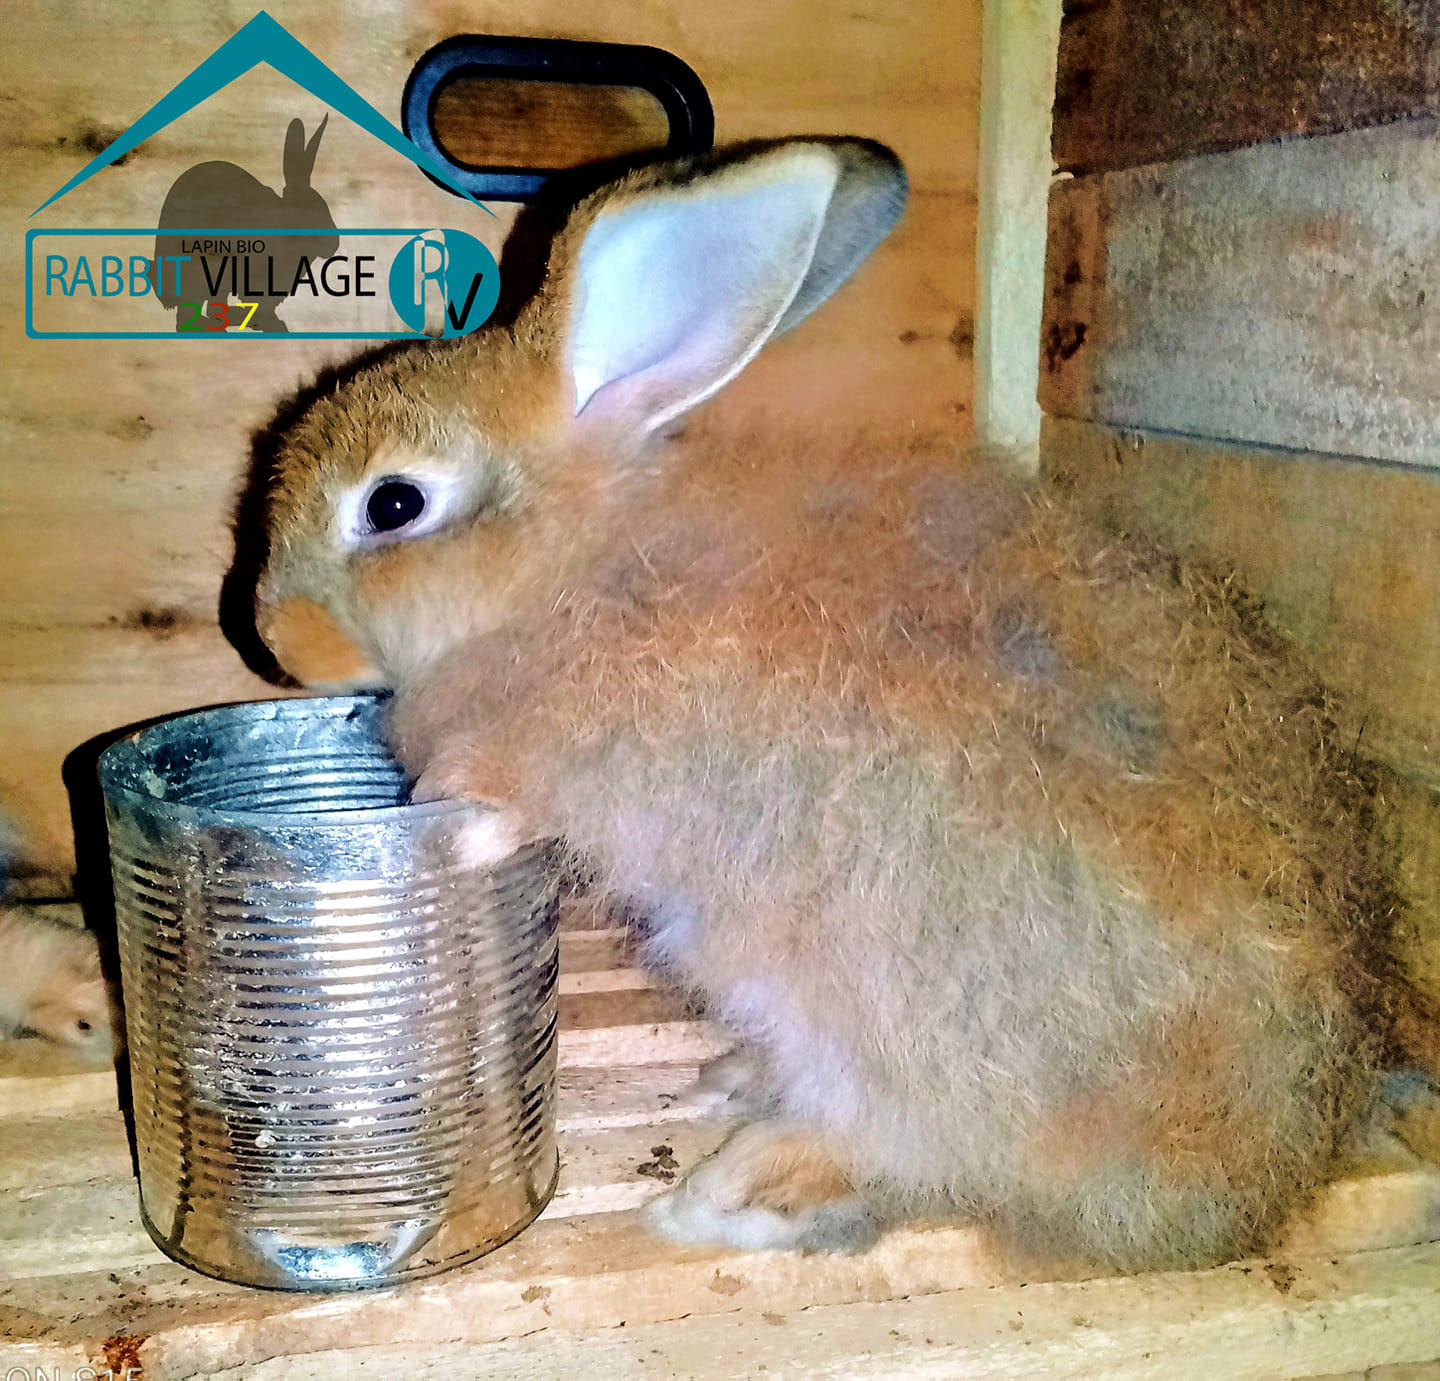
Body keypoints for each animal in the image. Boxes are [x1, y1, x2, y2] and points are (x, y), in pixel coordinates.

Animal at [247, 138, 1440, 1271]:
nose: (269, 635)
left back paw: (732, 1190)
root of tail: (1271, 1165)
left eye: (392, 505)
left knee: (910, 1159)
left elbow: (502, 797)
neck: (567, 571)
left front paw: (445, 806)